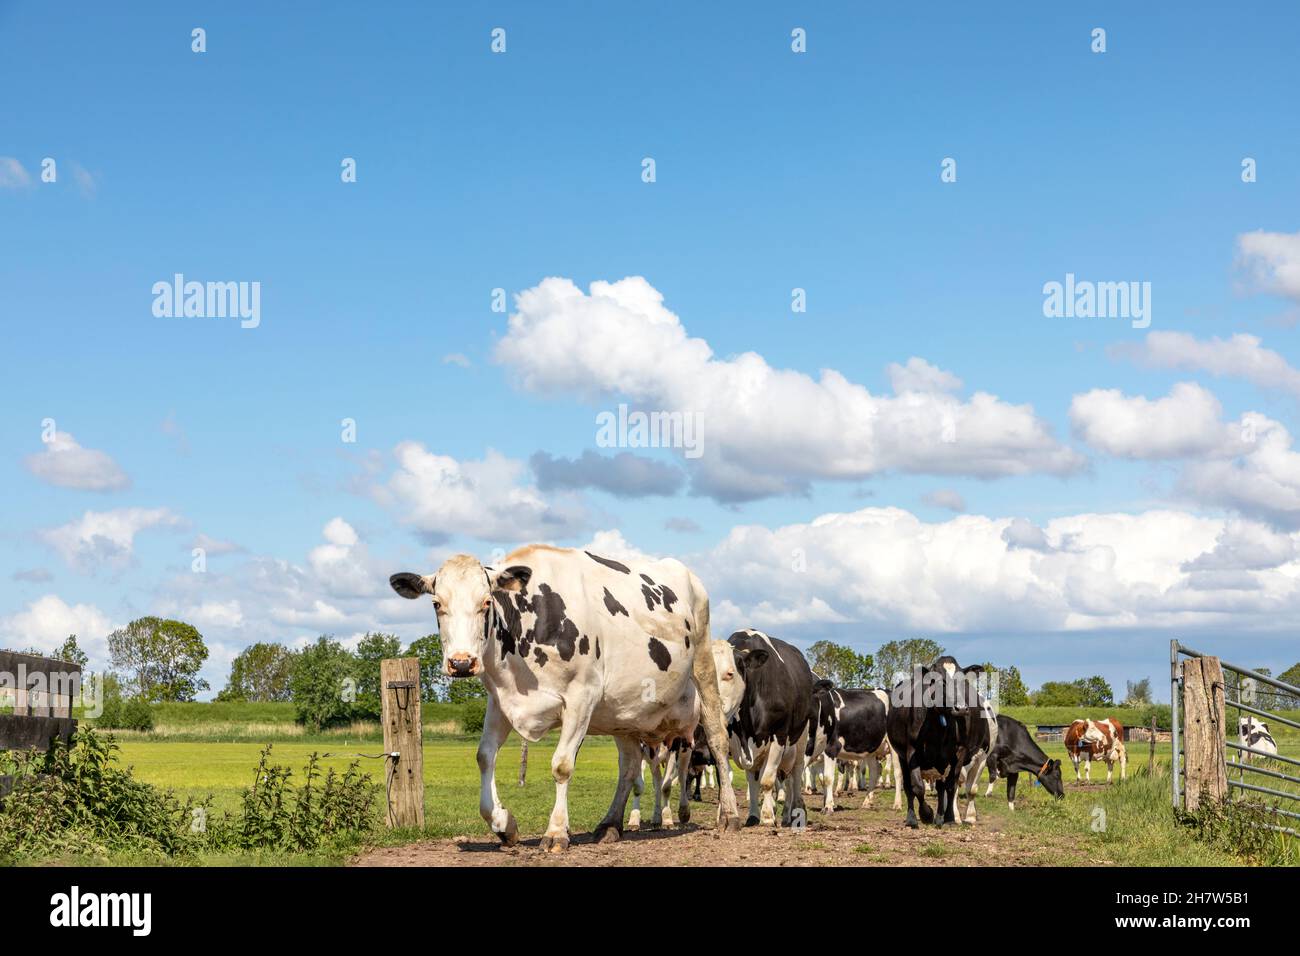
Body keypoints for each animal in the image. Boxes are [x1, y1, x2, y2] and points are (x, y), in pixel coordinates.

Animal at [389, 546, 742, 851]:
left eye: (487, 602)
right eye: (437, 603)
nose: (461, 663)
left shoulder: (581, 697)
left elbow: (561, 766)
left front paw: (556, 831)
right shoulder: (500, 701)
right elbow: (484, 757)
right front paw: (505, 825)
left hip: (704, 667)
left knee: (717, 738)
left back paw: (729, 815)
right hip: (622, 712)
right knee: (629, 766)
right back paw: (610, 824)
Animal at [727, 629, 816, 828]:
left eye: (730, 674)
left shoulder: (778, 735)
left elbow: (767, 780)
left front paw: (767, 817)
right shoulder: (737, 742)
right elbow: (752, 781)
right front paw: (753, 816)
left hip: (800, 738)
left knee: (796, 774)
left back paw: (796, 811)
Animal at [809, 685, 902, 813]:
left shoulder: (832, 748)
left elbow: (828, 778)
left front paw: (828, 806)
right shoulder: (819, 757)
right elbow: (823, 780)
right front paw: (827, 804)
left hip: (894, 746)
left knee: (897, 772)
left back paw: (897, 804)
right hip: (871, 749)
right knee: (874, 771)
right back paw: (867, 802)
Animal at [885, 656, 993, 827]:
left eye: (963, 681)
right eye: (939, 681)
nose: (961, 708)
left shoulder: (959, 752)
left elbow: (951, 786)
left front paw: (949, 818)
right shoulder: (911, 751)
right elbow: (918, 787)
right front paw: (926, 814)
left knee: (942, 786)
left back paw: (940, 817)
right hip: (901, 755)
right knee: (908, 786)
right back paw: (912, 818)